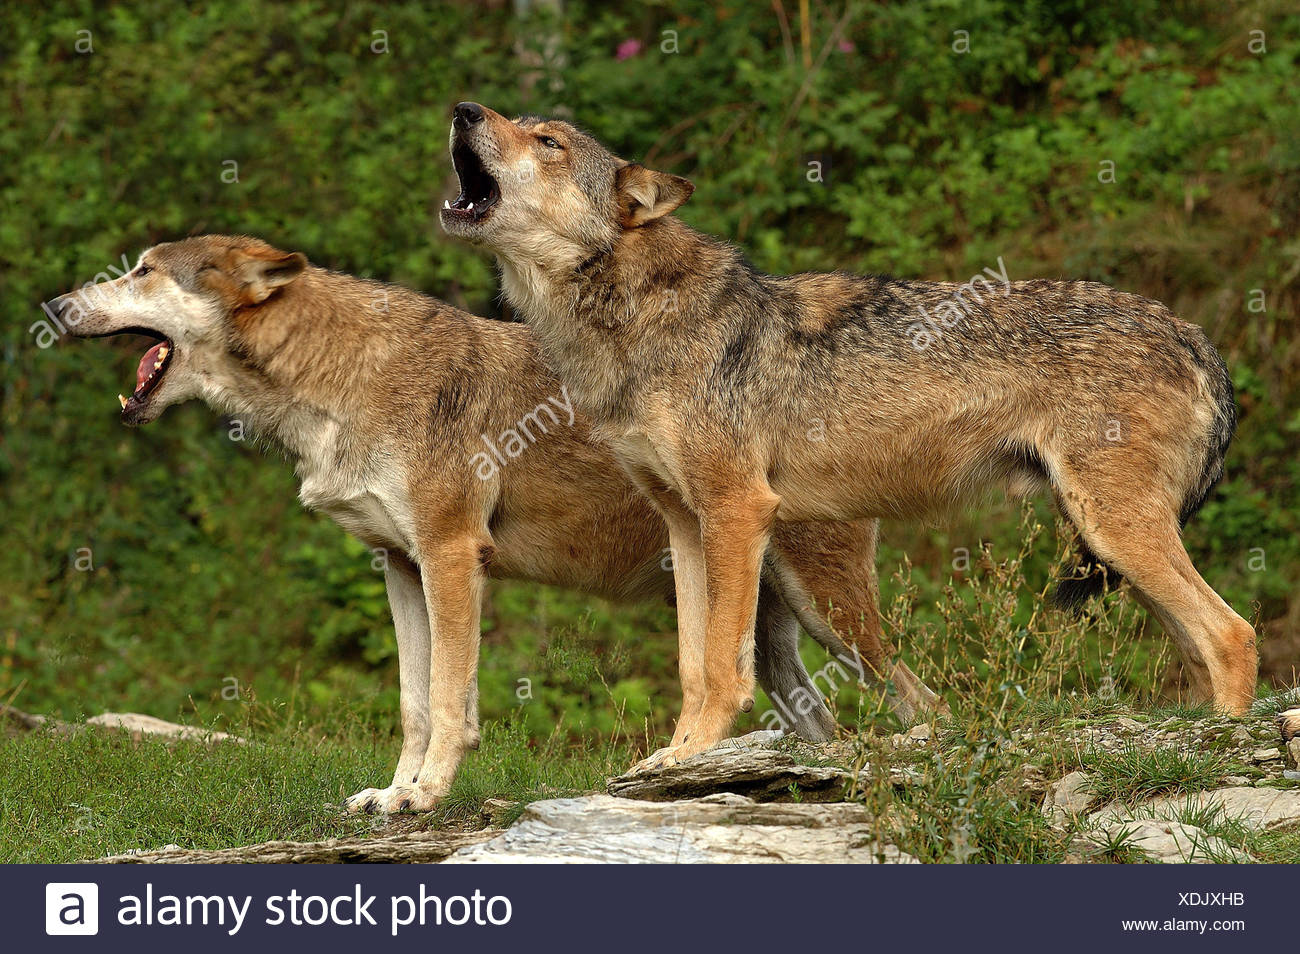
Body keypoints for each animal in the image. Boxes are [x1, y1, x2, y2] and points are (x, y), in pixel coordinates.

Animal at [48, 234, 940, 811]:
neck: (343, 382)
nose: (53, 304)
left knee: (918, 700)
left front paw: (428, 797)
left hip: (835, 621)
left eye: (141, 270)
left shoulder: (451, 557)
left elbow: (449, 702)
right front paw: (394, 795)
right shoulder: (400, 566)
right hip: (782, 642)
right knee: (818, 724)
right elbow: (412, 702)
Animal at [439, 102, 1257, 770]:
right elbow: (693, 665)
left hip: (1108, 532)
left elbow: (724, 668)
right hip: (1106, 545)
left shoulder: (736, 509)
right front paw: (674, 755)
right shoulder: (686, 522)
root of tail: (1192, 333)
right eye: (517, 122)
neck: (627, 326)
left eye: (548, 141)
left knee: (1234, 634)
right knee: (1200, 648)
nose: (463, 110)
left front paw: (694, 756)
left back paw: (1222, 747)